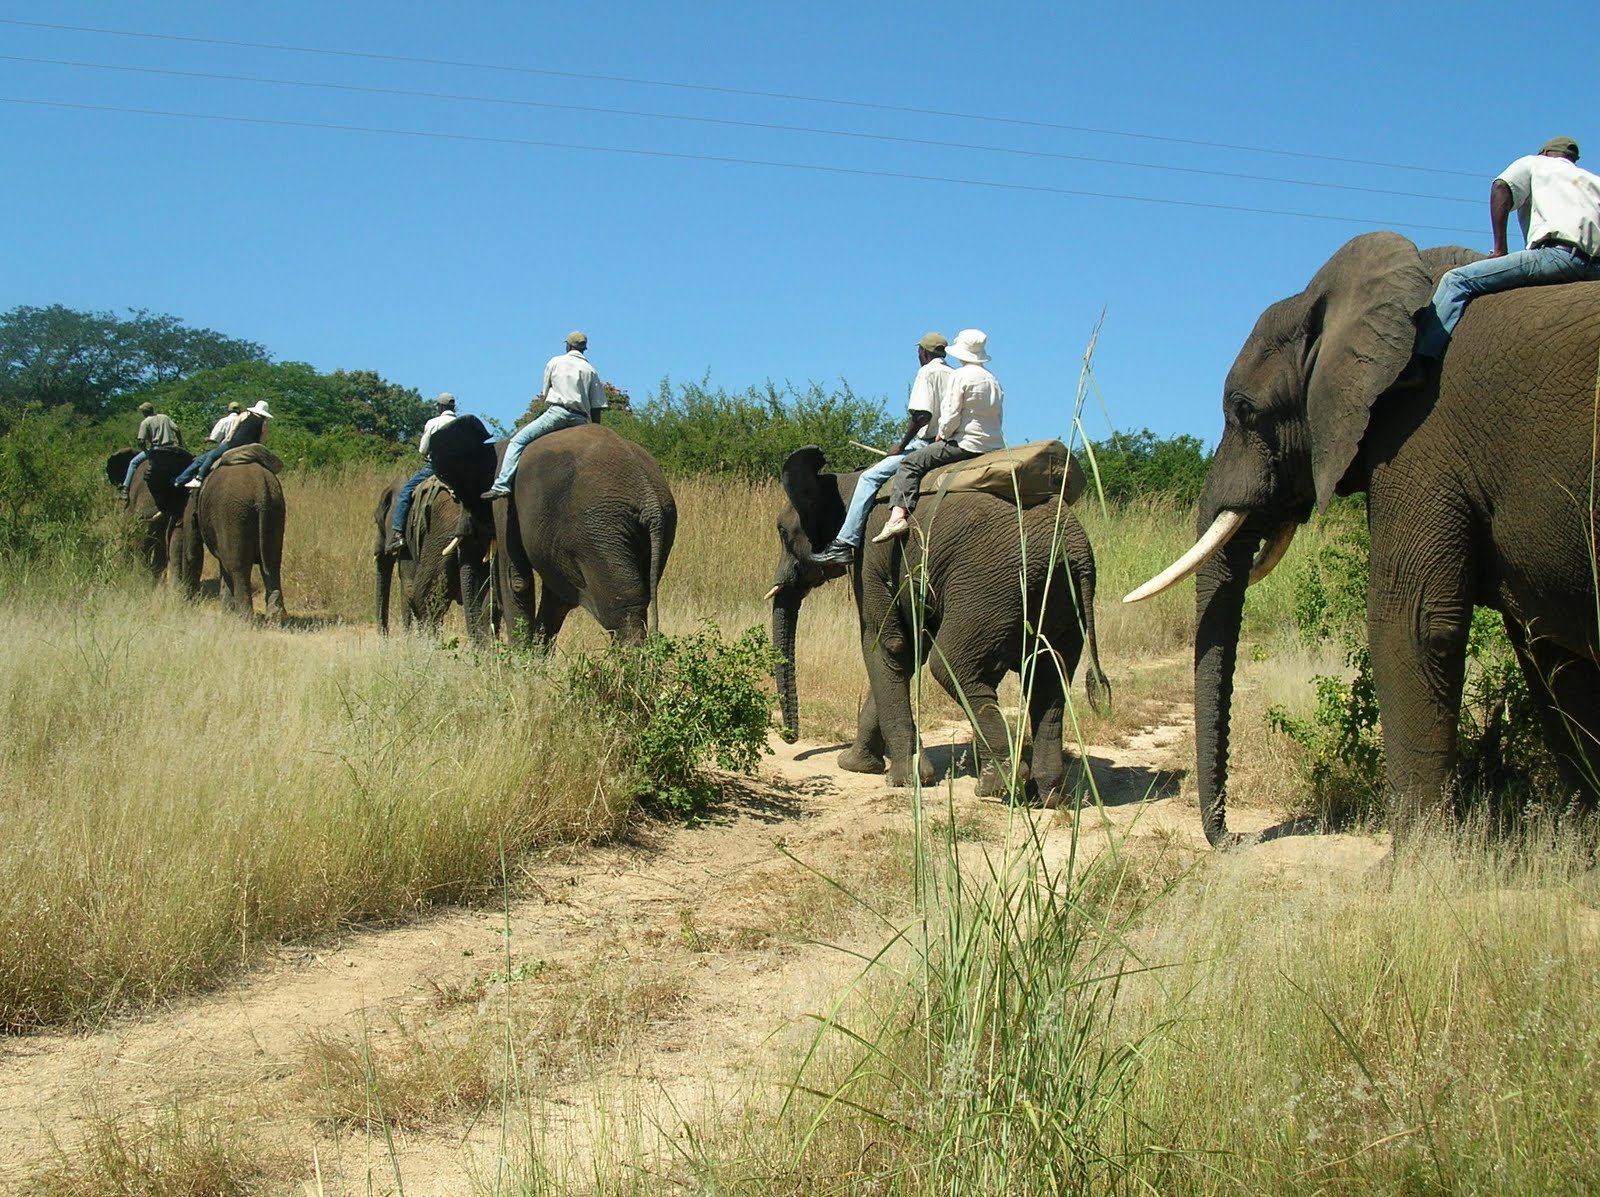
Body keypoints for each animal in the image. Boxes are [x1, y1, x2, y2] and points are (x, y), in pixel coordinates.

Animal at [175, 445, 287, 620]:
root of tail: (261, 490)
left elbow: (192, 553)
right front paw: (226, 611)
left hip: (232, 512)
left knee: (238, 566)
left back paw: (244, 618)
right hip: (275, 509)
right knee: (271, 565)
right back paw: (275, 619)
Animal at [373, 475, 491, 637]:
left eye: (376, 520)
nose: (385, 638)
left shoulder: (408, 544)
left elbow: (409, 589)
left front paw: (409, 640)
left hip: (440, 534)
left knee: (425, 597)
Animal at [426, 416, 676, 647]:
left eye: (460, 499)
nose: (489, 651)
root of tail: (648, 497)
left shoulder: (504, 505)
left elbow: (515, 579)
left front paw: (521, 660)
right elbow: (556, 597)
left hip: (601, 528)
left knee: (622, 609)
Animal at [771, 445, 1111, 804]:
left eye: (782, 532)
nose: (790, 737)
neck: (843, 482)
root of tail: (1075, 547)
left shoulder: (870, 558)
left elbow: (886, 646)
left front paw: (906, 779)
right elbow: (906, 654)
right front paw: (856, 765)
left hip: (992, 587)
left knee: (955, 669)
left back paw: (998, 787)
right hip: (1061, 598)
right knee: (1049, 681)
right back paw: (1050, 797)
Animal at [1126, 231, 1600, 845]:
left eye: (1244, 411)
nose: (1231, 839)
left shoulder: (1420, 434)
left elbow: (1413, 621)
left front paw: (1415, 860)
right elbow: (1556, 657)